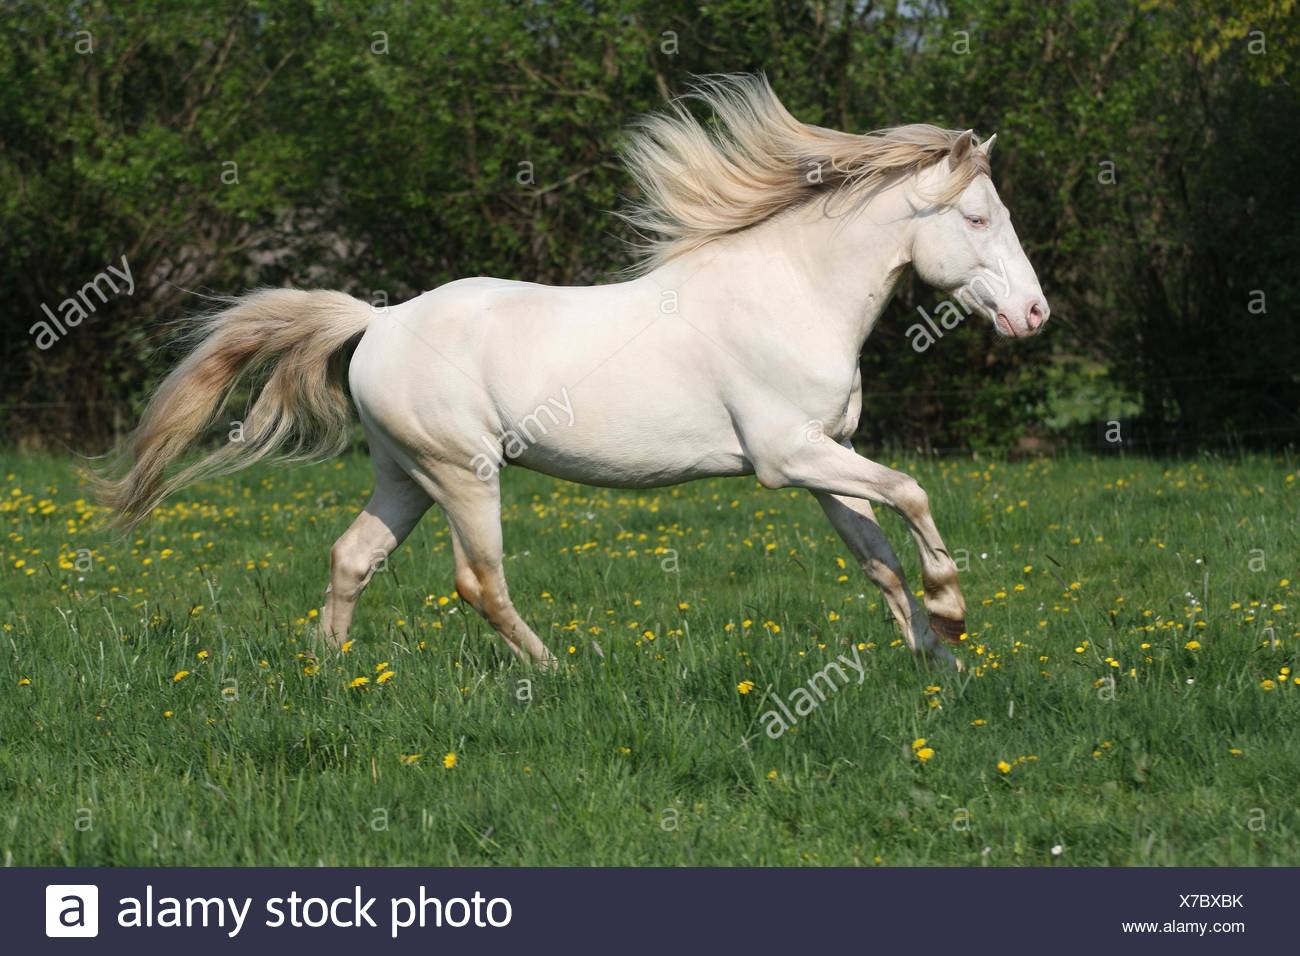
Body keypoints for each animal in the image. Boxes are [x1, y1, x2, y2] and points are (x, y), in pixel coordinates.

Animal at [97, 74, 1049, 670]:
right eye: (976, 216)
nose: (1035, 315)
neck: (791, 294)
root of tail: (378, 323)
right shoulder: (788, 458)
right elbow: (914, 493)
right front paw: (953, 618)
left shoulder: (826, 462)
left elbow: (878, 556)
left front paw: (937, 663)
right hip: (463, 471)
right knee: (477, 580)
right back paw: (557, 669)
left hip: (405, 474)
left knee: (352, 557)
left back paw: (329, 673)